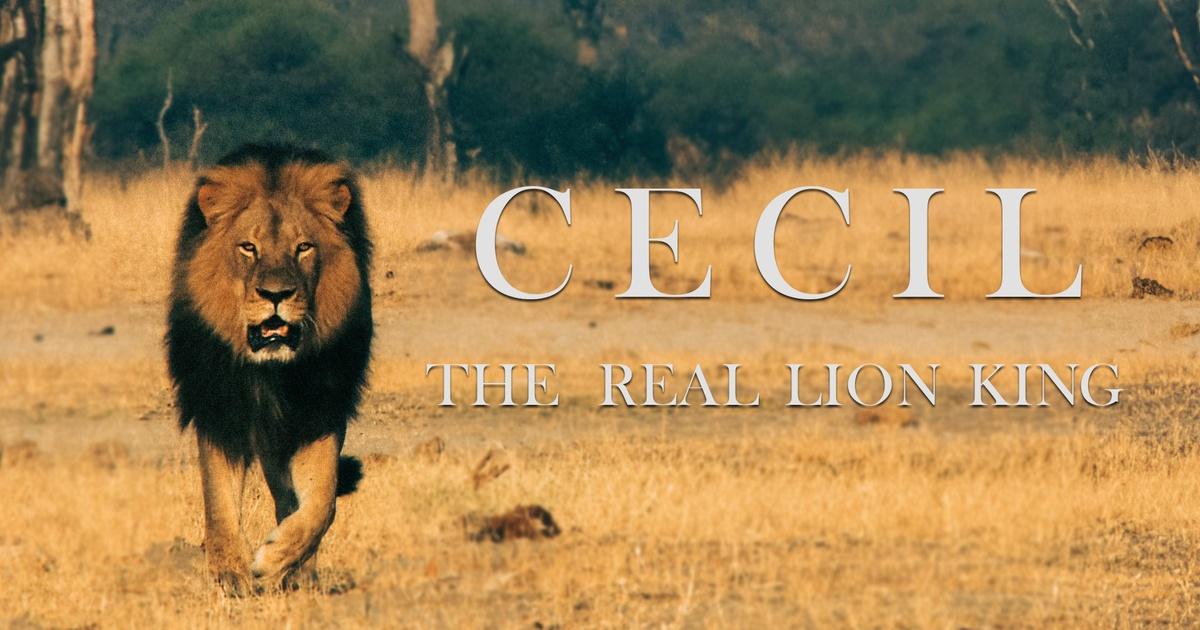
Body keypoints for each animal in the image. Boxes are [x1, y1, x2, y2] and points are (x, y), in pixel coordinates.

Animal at [166, 144, 373, 596]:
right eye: (248, 247)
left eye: (304, 247)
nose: (275, 295)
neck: (272, 373)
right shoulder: (219, 410)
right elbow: (219, 501)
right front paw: (230, 574)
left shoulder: (319, 413)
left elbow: (322, 502)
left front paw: (278, 559)